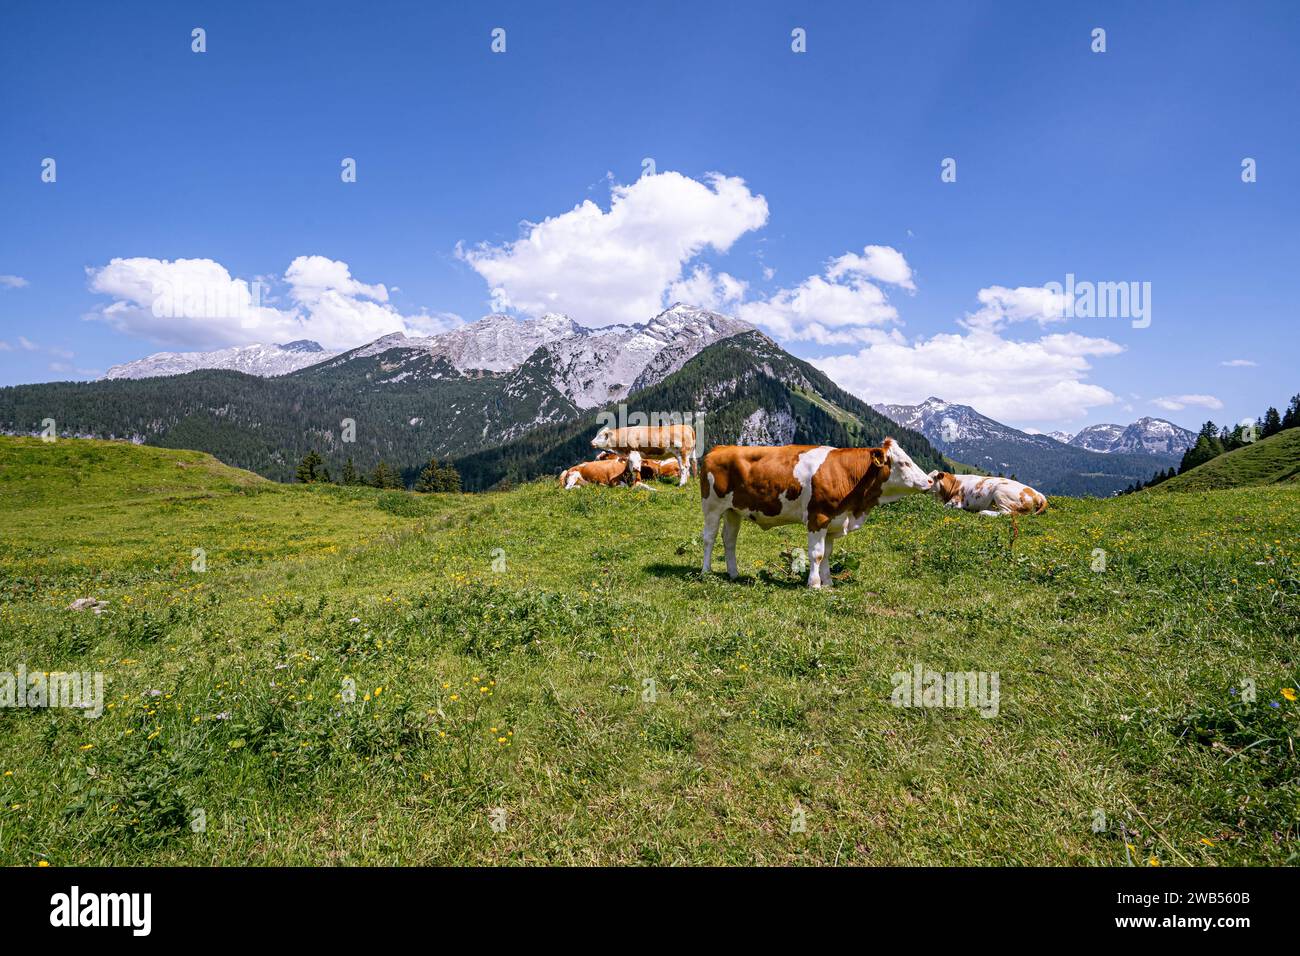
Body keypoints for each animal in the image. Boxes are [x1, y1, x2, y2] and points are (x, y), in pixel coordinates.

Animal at [700, 439, 933, 589]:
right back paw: (706, 571)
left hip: (733, 510)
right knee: (709, 538)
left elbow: (827, 553)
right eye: (904, 463)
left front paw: (828, 582)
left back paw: (733, 573)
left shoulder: (833, 521)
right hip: (712, 506)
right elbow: (817, 553)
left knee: (729, 539)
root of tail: (720, 448)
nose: (931, 480)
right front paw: (814, 584)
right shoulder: (818, 517)